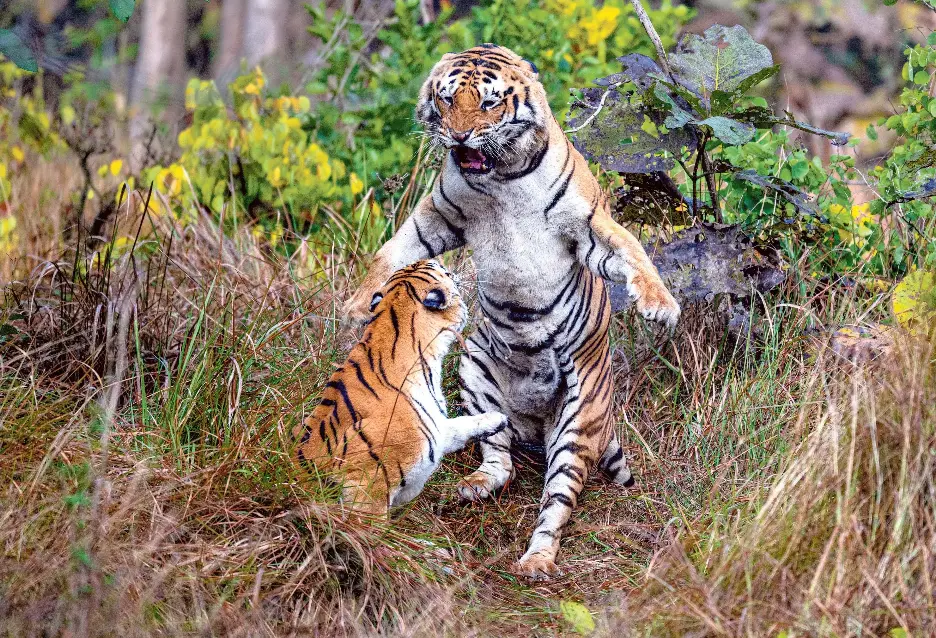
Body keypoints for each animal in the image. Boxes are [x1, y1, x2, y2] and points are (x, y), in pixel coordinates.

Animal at [295, 259, 508, 515]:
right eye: (446, 272)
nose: (458, 272)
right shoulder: (366, 484)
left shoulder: (434, 428)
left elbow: (457, 426)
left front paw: (497, 419)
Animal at [343, 45, 680, 577]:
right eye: (447, 99)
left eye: (488, 104)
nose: (460, 136)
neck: (502, 180)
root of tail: (535, 425)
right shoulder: (439, 216)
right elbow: (393, 251)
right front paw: (359, 303)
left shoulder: (587, 229)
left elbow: (630, 249)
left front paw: (660, 305)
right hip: (477, 369)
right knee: (499, 458)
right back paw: (474, 485)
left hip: (577, 422)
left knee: (556, 501)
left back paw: (536, 561)